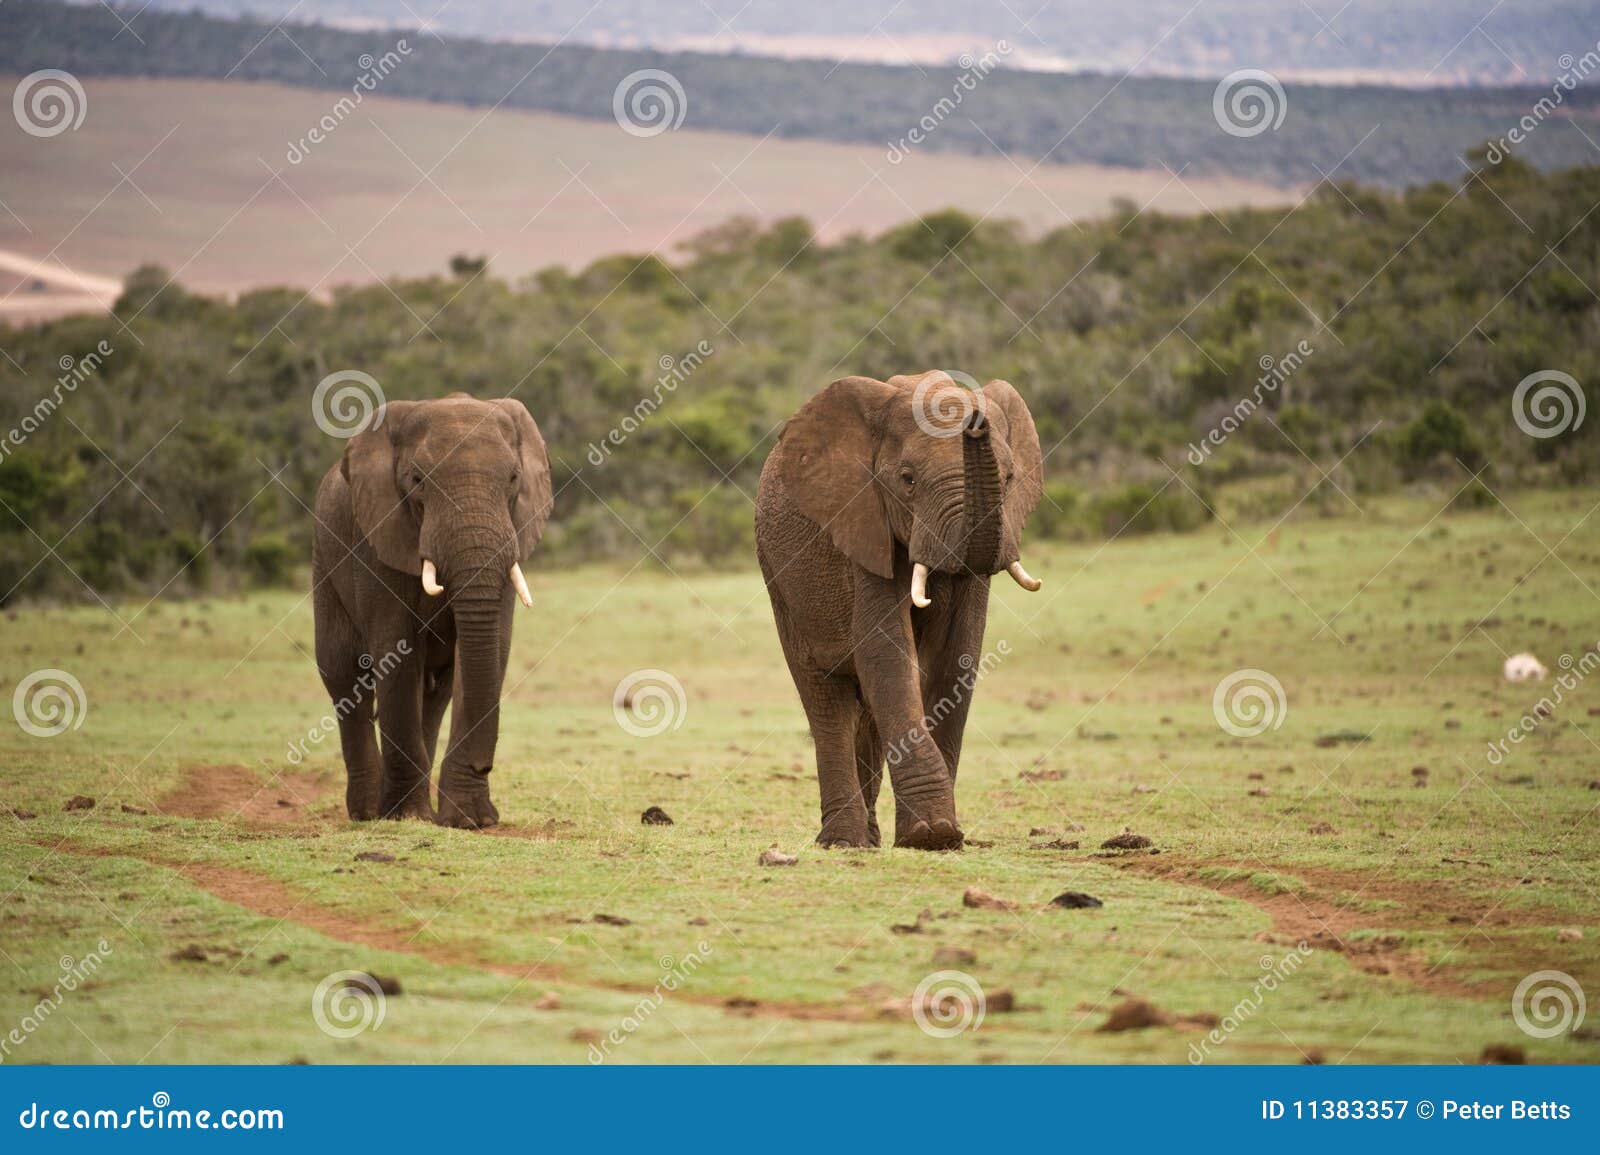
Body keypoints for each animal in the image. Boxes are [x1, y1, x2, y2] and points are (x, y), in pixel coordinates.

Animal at [311, 393, 553, 828]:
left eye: (513, 478)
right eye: (418, 480)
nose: (483, 765)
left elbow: (490, 650)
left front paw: (470, 820)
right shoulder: (377, 539)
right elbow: (396, 649)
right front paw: (406, 816)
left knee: (436, 689)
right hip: (323, 556)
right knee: (343, 674)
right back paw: (369, 812)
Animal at [754, 372, 1044, 850]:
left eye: (1009, 478)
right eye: (907, 480)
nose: (974, 420)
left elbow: (956, 659)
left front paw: (938, 835)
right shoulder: (863, 523)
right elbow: (887, 655)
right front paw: (932, 834)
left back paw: (868, 840)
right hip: (781, 584)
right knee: (827, 700)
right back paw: (843, 842)